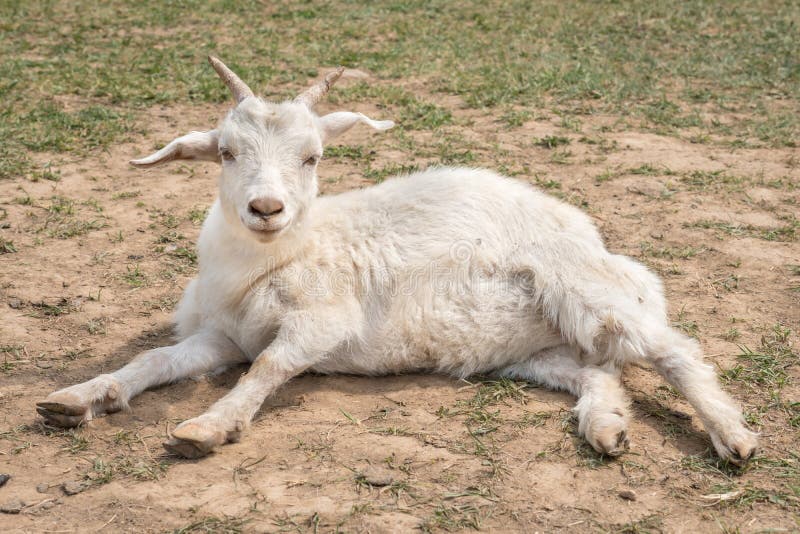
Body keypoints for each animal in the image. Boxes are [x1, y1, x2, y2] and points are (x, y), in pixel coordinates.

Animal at [37, 57, 758, 464]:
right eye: (225, 152)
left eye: (313, 157)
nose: (266, 209)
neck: (270, 261)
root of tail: (598, 242)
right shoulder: (221, 335)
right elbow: (152, 361)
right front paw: (79, 398)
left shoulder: (321, 323)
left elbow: (267, 368)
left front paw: (209, 427)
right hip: (531, 348)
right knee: (598, 372)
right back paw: (607, 431)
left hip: (585, 290)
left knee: (674, 353)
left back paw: (733, 438)